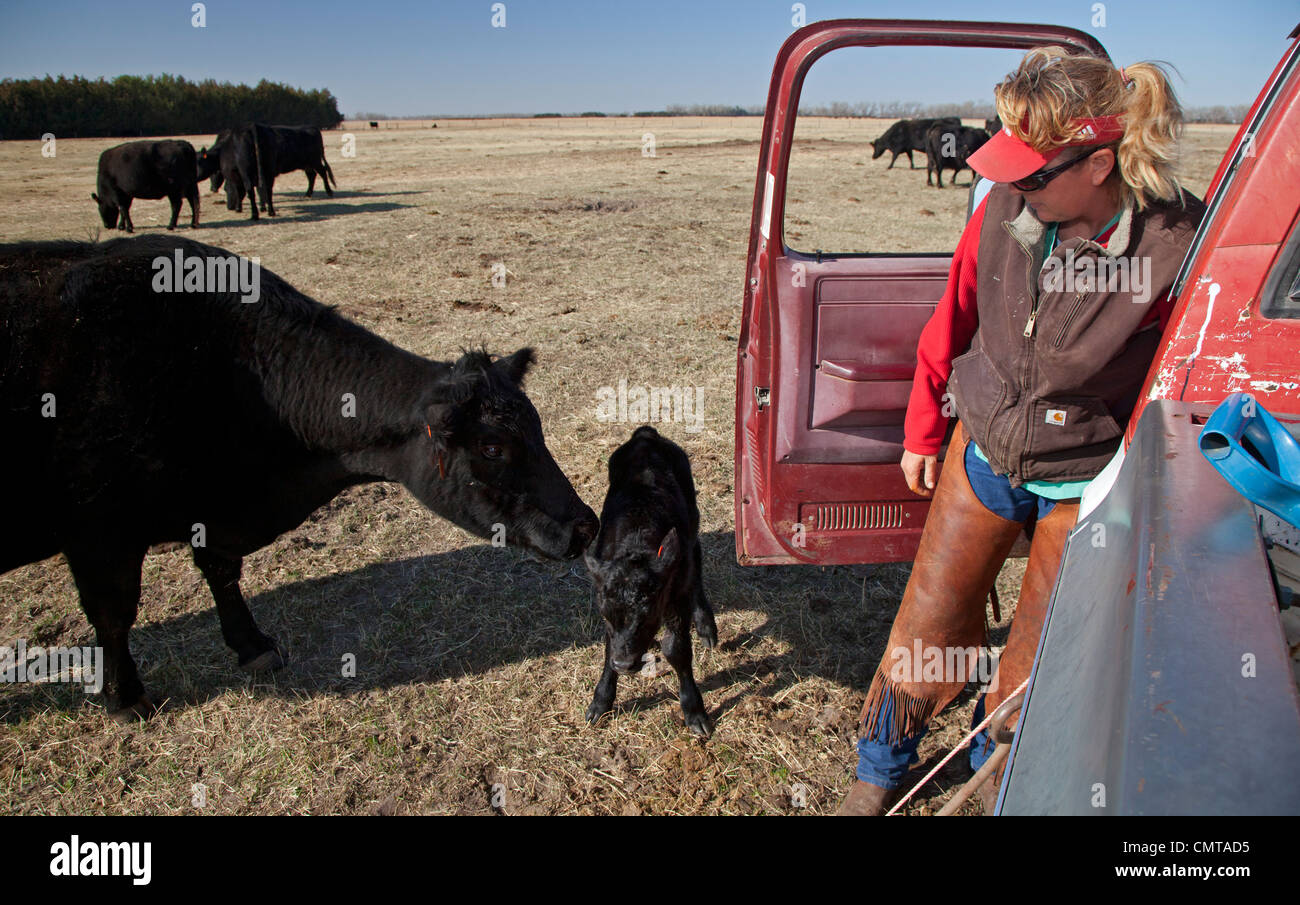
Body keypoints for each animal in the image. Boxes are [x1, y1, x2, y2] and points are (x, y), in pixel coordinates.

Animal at [0, 235, 599, 721]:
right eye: (492, 447)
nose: (585, 526)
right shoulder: (100, 534)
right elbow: (113, 614)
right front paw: (127, 700)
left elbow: (221, 572)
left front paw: (252, 645)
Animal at [583, 426, 718, 738]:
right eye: (605, 616)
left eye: (647, 616)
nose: (624, 664)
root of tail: (646, 435)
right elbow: (608, 646)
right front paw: (601, 701)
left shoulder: (675, 597)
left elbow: (676, 649)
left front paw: (694, 712)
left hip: (692, 525)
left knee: (697, 564)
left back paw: (706, 625)